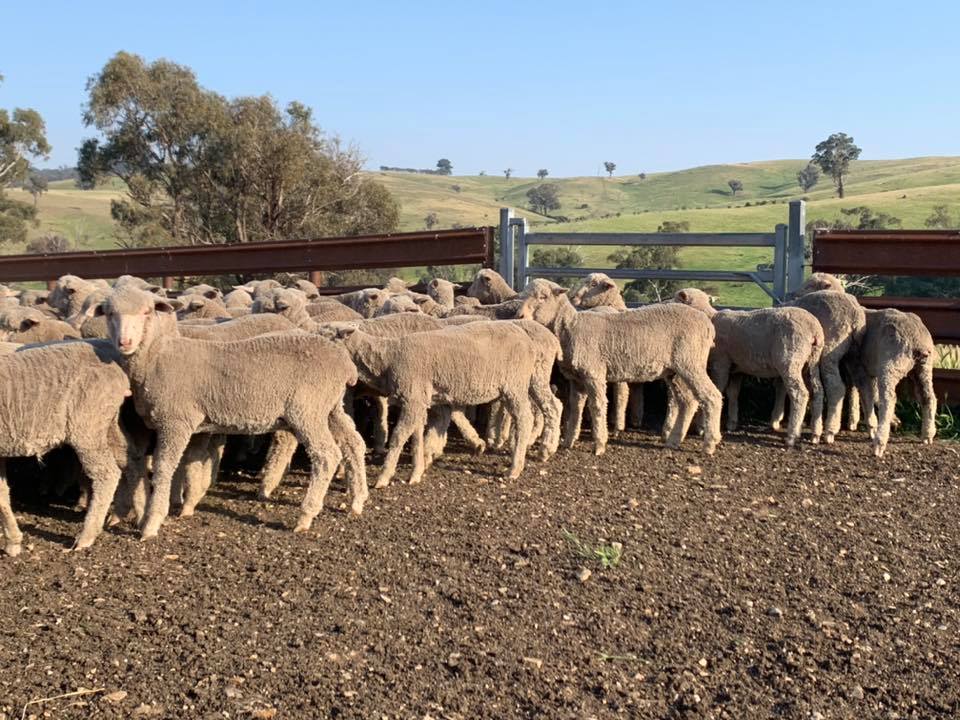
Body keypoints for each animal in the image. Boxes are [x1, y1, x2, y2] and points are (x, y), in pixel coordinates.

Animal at [0, 340, 135, 555]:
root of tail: (118, 372)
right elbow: (2, 494)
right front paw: (13, 541)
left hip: (87, 426)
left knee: (107, 473)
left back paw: (86, 537)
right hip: (107, 422)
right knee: (131, 457)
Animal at [96, 286, 368, 537]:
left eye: (147, 312)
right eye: (110, 313)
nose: (124, 343)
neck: (156, 357)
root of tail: (345, 363)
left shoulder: (174, 421)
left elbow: (165, 467)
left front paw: (151, 523)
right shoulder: (197, 426)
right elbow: (190, 462)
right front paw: (186, 505)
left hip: (307, 410)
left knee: (326, 455)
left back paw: (305, 516)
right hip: (330, 407)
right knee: (353, 441)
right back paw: (357, 500)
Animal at [519, 279, 722, 455]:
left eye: (543, 296)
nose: (520, 315)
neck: (571, 328)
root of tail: (708, 325)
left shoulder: (594, 373)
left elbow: (597, 406)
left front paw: (599, 444)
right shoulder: (576, 379)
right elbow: (576, 408)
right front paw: (568, 441)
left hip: (691, 363)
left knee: (712, 396)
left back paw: (709, 444)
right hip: (674, 371)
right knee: (687, 401)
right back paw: (674, 441)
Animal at [673, 288, 824, 446]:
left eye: (676, 299)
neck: (710, 317)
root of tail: (814, 328)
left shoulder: (720, 362)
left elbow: (718, 389)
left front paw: (702, 426)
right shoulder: (736, 369)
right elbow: (733, 393)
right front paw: (732, 423)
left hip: (790, 359)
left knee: (800, 394)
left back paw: (792, 435)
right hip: (811, 361)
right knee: (818, 391)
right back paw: (815, 433)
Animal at [852, 308, 936, 457]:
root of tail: (917, 339)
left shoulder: (862, 369)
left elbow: (868, 397)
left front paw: (872, 427)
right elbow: (869, 395)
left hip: (891, 363)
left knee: (889, 399)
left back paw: (879, 443)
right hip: (923, 367)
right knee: (928, 397)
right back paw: (928, 434)